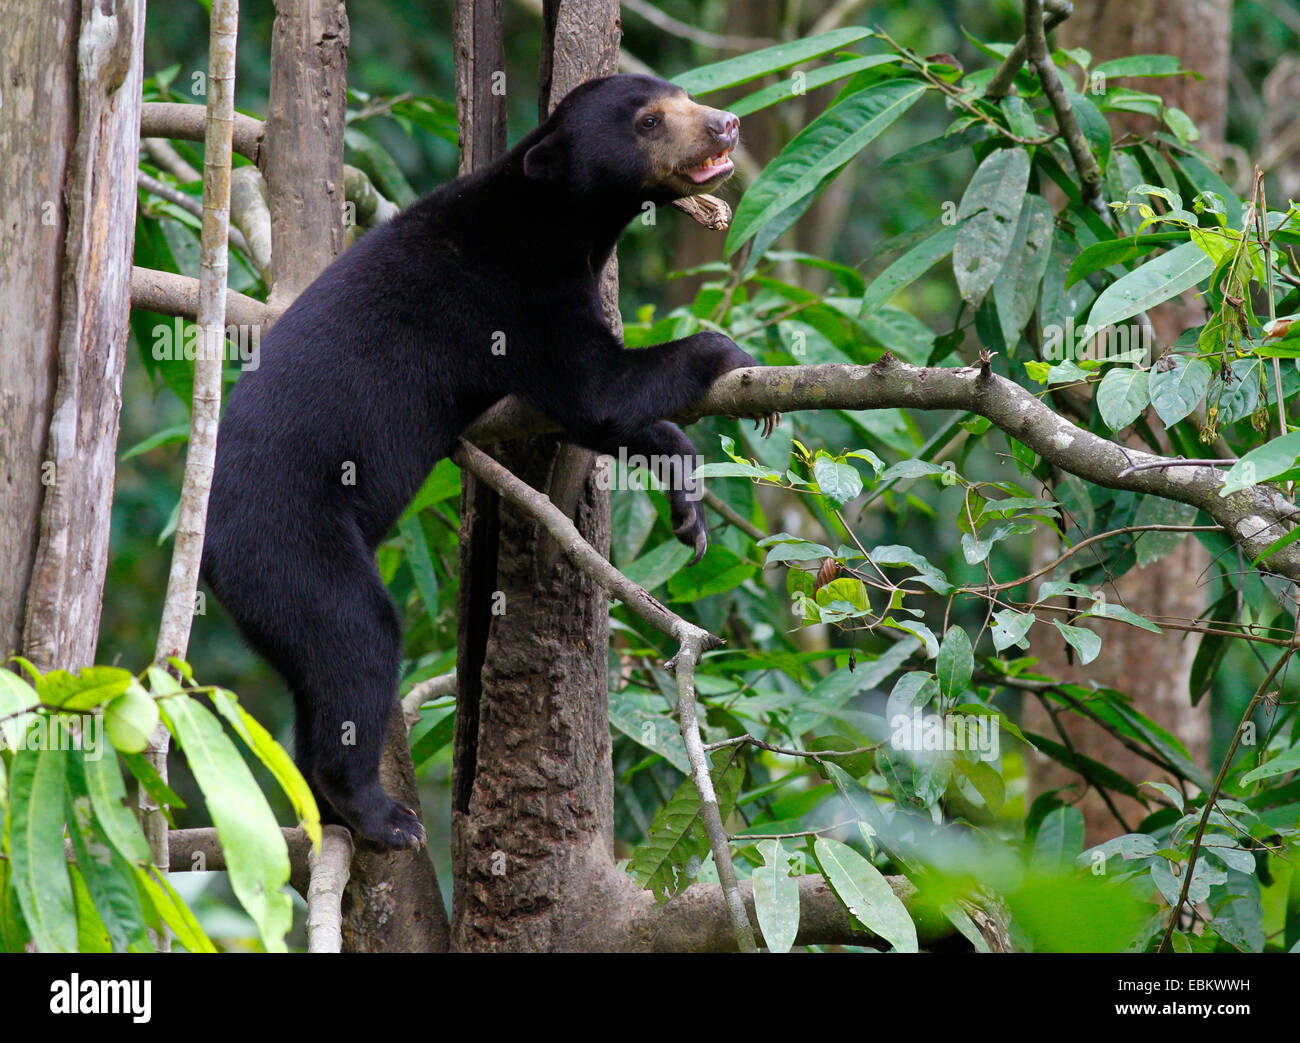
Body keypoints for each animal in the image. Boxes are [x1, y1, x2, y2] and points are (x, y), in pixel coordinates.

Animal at [201, 74, 770, 850]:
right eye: (650, 121)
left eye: (684, 96)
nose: (727, 123)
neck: (559, 216)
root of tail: (210, 557)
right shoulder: (516, 296)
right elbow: (600, 390)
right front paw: (732, 356)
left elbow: (596, 414)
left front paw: (689, 508)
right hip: (291, 545)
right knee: (353, 637)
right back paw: (380, 814)